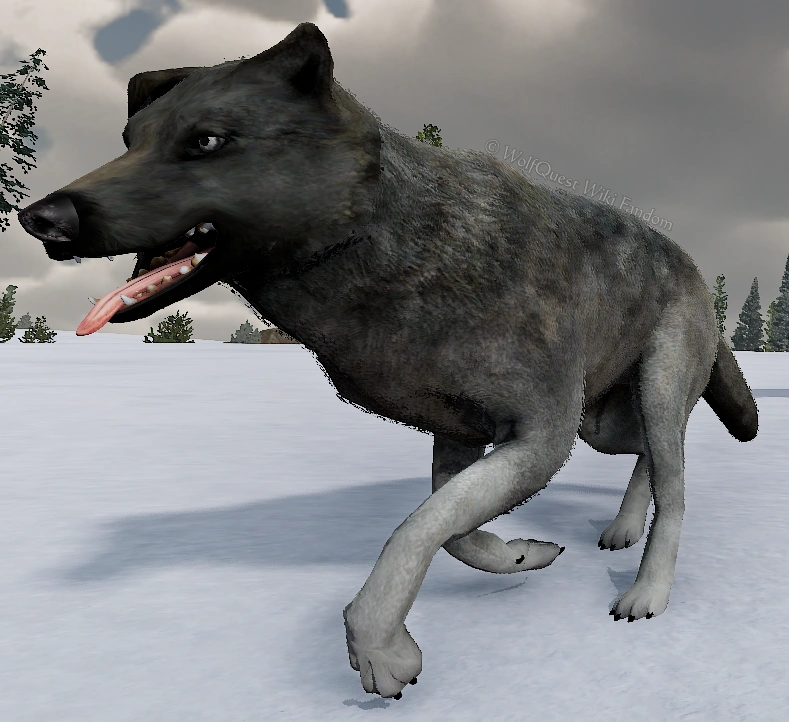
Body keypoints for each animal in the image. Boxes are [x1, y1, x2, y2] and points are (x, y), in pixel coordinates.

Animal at [17, 23, 758, 699]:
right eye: (128, 142)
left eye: (205, 142)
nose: (39, 218)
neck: (383, 243)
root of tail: (692, 260)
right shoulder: (462, 436)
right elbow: (449, 528)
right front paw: (521, 552)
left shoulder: (541, 437)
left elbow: (415, 531)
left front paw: (378, 649)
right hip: (602, 423)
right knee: (651, 456)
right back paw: (623, 527)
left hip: (646, 392)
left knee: (675, 480)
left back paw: (646, 592)